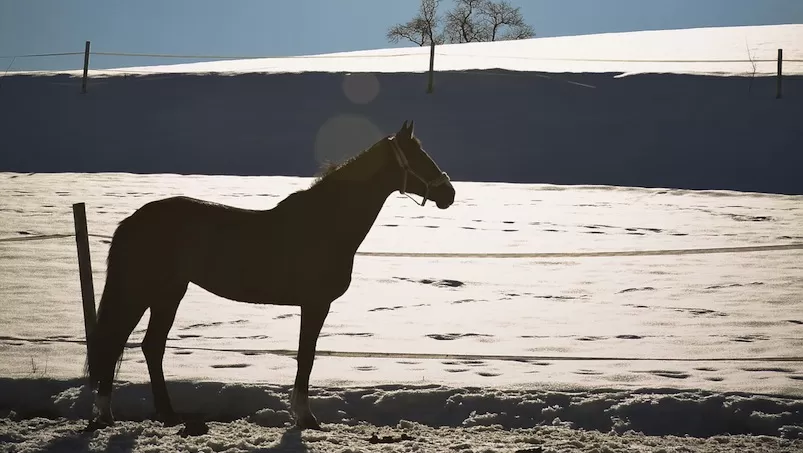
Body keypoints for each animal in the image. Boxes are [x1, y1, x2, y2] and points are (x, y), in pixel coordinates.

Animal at [85, 121, 456, 430]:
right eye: (419, 156)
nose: (449, 194)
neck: (327, 223)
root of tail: (133, 220)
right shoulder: (315, 304)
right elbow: (306, 357)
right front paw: (306, 418)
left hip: (169, 293)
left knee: (152, 346)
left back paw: (166, 414)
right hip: (142, 291)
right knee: (118, 341)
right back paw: (106, 415)